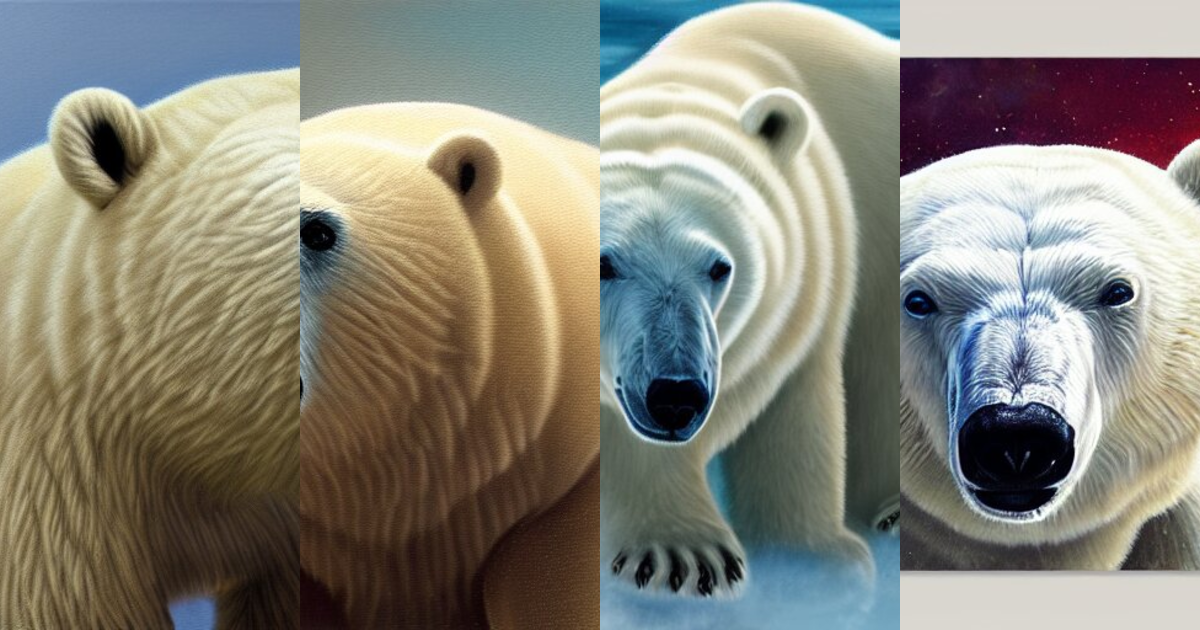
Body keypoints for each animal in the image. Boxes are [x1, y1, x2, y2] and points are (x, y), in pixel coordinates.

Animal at [599, 2, 900, 596]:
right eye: (605, 264)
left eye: (720, 267)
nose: (675, 395)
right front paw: (682, 555)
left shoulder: (807, 277)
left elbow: (795, 414)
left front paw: (810, 560)